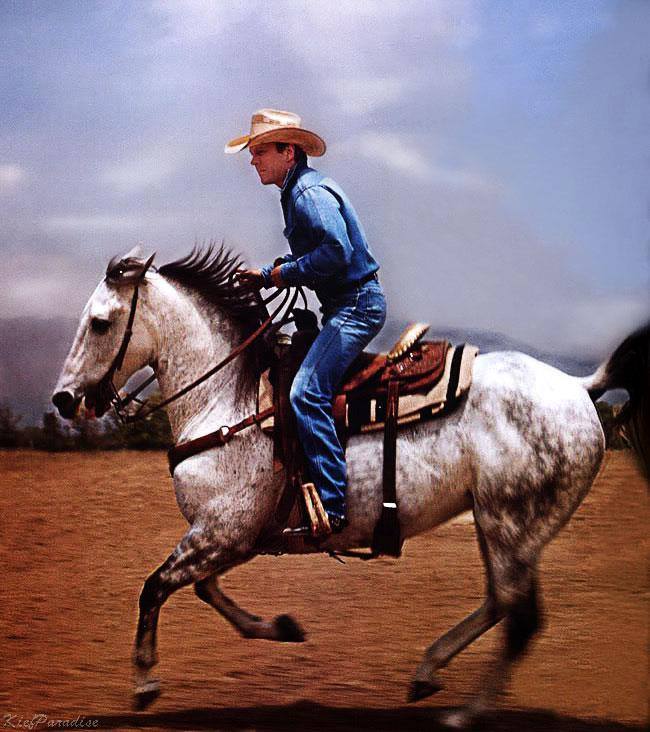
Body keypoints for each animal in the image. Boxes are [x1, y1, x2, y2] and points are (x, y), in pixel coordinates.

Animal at [52, 246, 648, 728]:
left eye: (101, 323)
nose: (63, 399)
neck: (230, 399)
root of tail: (578, 388)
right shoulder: (232, 538)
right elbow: (203, 589)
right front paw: (283, 627)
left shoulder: (222, 531)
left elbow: (155, 586)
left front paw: (145, 683)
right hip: (501, 525)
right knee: (502, 602)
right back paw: (428, 673)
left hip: (511, 523)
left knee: (518, 615)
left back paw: (465, 713)